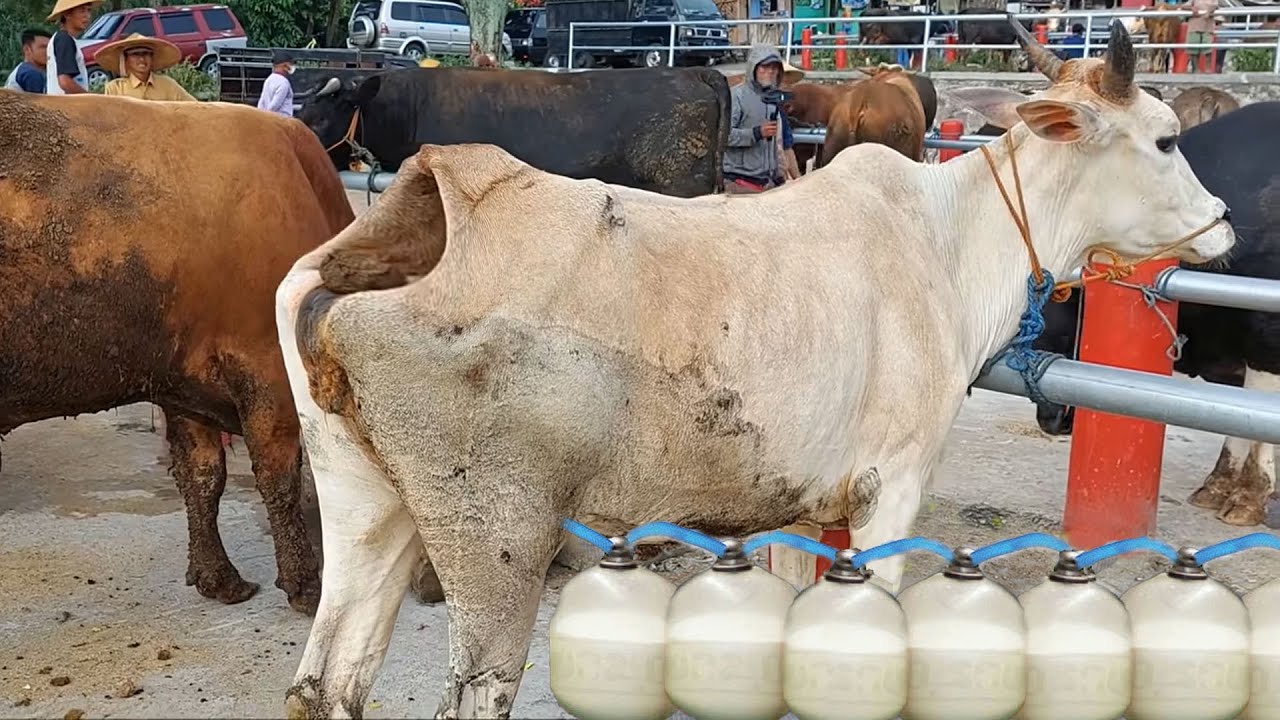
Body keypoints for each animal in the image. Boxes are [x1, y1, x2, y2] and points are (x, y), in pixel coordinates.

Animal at [0, 91, 344, 614]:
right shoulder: (266, 364)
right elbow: (278, 475)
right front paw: (306, 586)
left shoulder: (185, 383)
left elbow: (201, 476)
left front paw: (217, 578)